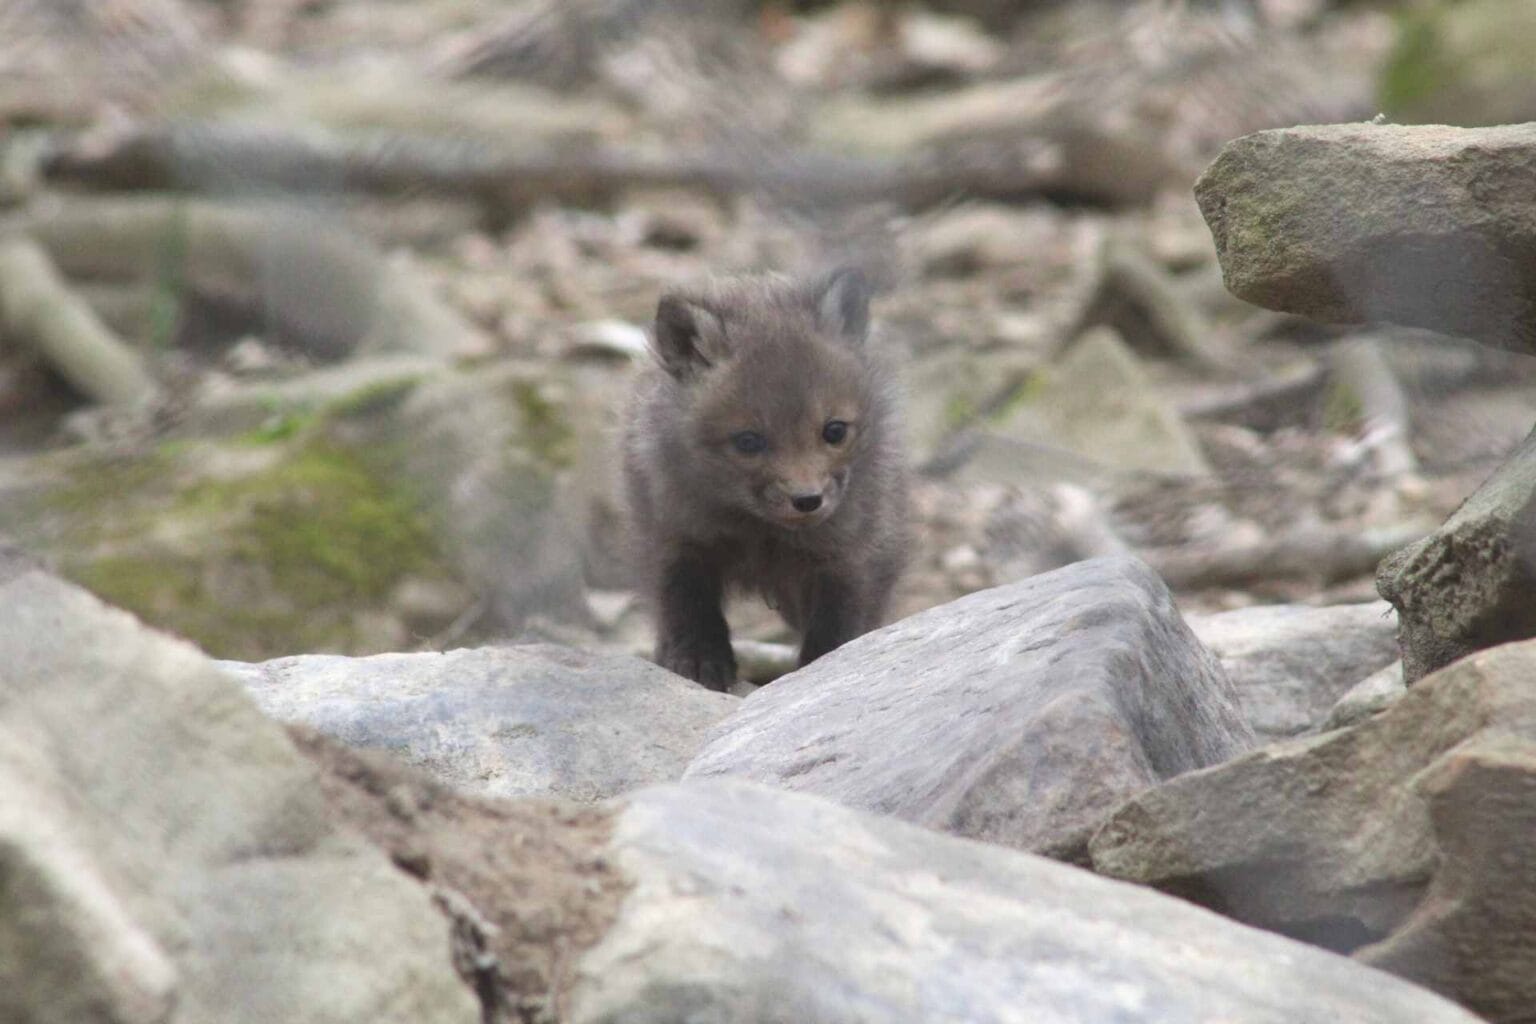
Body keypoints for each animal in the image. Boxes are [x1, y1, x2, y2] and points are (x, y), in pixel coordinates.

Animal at [622, 268, 911, 690]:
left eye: (835, 431)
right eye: (748, 441)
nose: (807, 500)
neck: (759, 533)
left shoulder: (850, 553)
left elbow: (837, 627)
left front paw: (824, 670)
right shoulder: (675, 539)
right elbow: (688, 608)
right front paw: (698, 660)